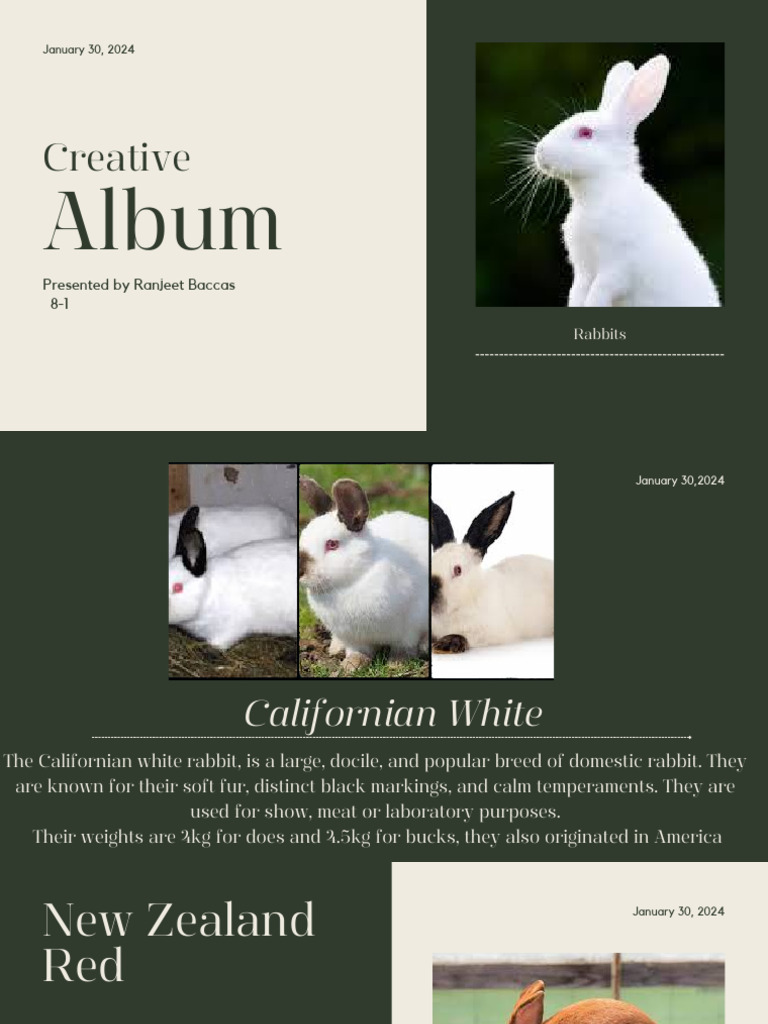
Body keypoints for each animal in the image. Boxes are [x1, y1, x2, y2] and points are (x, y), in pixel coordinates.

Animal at [299, 476, 429, 673]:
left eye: (332, 544)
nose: (300, 571)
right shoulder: (353, 636)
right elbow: (358, 651)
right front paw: (352, 665)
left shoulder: (409, 629)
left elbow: (403, 647)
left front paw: (397, 664)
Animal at [532, 54, 720, 306]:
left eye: (585, 133)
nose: (540, 151)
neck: (597, 195)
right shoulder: (583, 272)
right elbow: (578, 294)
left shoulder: (616, 269)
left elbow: (597, 294)